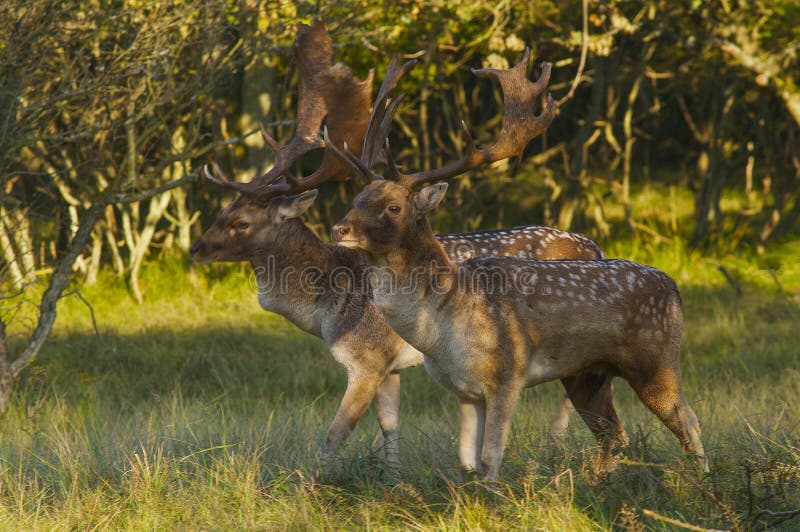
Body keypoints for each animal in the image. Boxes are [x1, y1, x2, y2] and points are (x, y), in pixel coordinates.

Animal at [189, 21, 606, 474]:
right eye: (225, 209)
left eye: (241, 223)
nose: (195, 248)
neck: (325, 309)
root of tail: (597, 248)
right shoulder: (390, 367)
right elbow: (389, 426)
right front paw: (394, 479)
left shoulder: (367, 358)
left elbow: (336, 433)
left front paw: (313, 481)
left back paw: (556, 445)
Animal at [328, 47, 708, 481]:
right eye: (357, 198)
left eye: (393, 207)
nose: (339, 228)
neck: (444, 326)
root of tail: (674, 287)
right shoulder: (467, 391)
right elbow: (468, 462)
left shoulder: (507, 376)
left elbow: (491, 458)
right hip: (587, 376)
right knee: (615, 433)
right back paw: (602, 482)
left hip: (656, 358)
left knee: (689, 423)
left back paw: (701, 483)